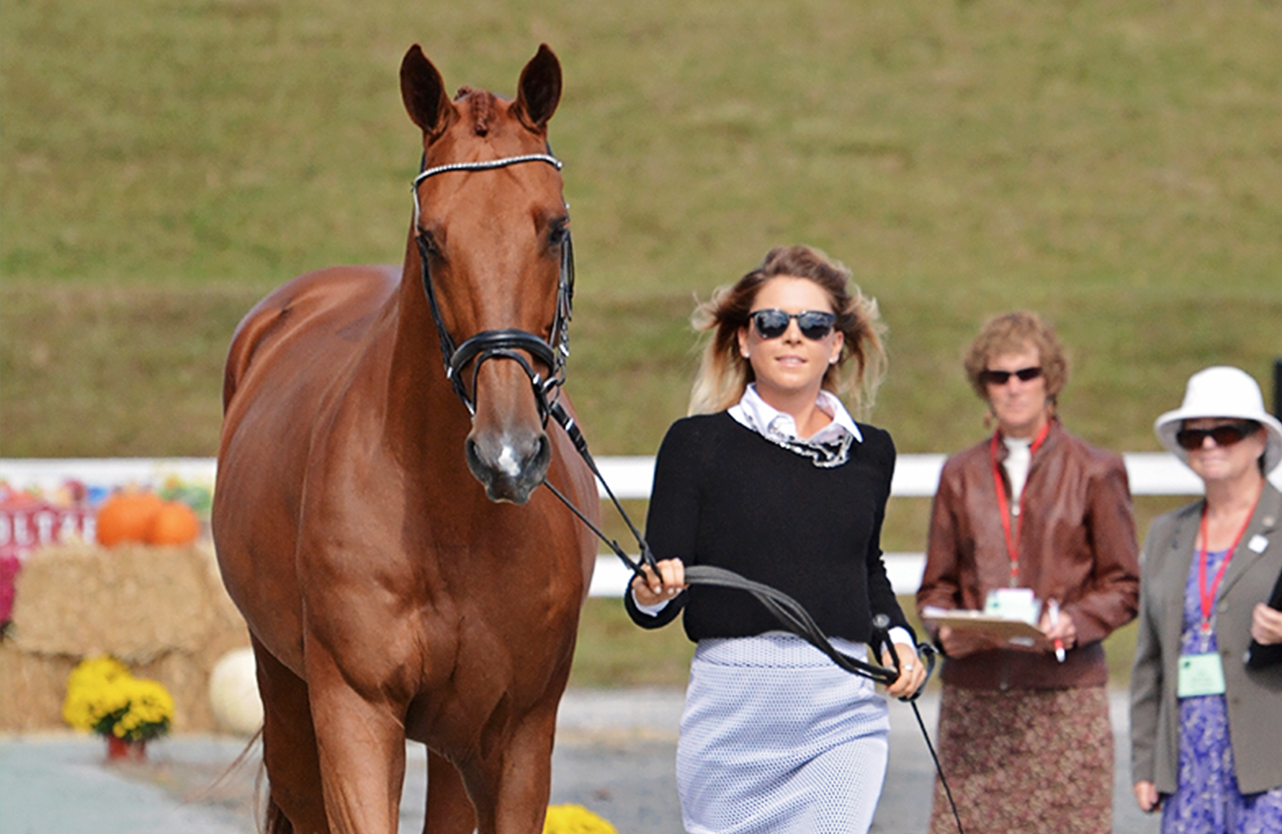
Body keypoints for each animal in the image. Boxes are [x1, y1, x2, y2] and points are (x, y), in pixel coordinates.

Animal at [211, 43, 599, 834]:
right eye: (431, 237)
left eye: (554, 226)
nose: (507, 452)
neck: (451, 521)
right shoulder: (355, 716)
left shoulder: (515, 743)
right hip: (286, 692)